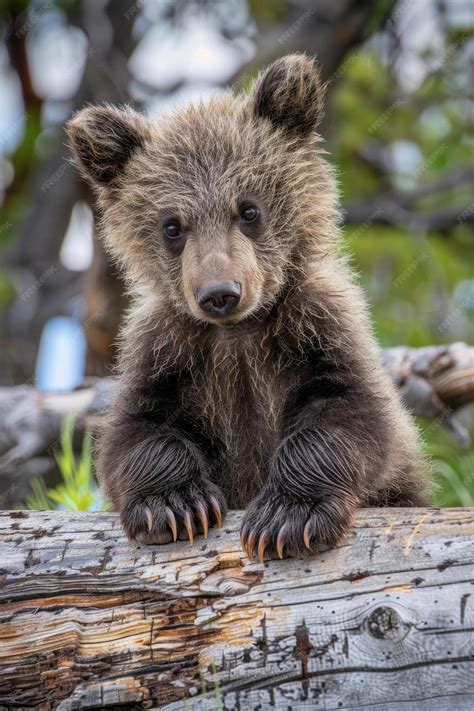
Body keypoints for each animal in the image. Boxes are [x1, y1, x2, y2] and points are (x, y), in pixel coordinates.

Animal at [67, 54, 429, 561]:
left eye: (249, 209)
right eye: (173, 225)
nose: (220, 292)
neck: (240, 331)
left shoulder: (316, 327)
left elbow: (350, 414)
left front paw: (288, 517)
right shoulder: (169, 350)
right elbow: (135, 430)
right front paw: (174, 505)